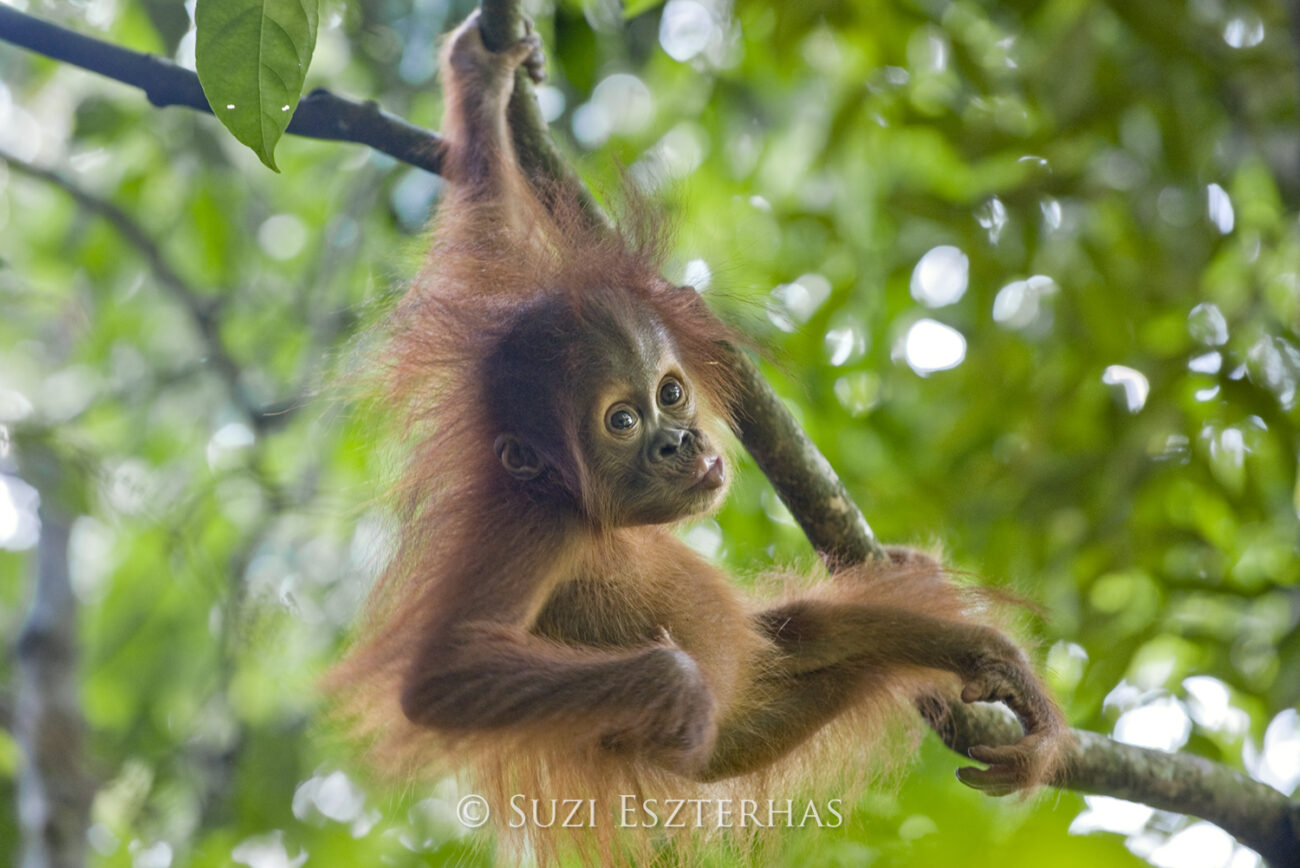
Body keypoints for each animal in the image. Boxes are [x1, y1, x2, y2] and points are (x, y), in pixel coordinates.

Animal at [328, 10, 1067, 860]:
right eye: (623, 419)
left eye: (670, 393)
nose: (679, 442)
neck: (589, 514)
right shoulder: (532, 527)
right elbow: (443, 680)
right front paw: (674, 687)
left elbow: (491, 216)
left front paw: (481, 78)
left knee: (809, 629)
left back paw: (978, 655)